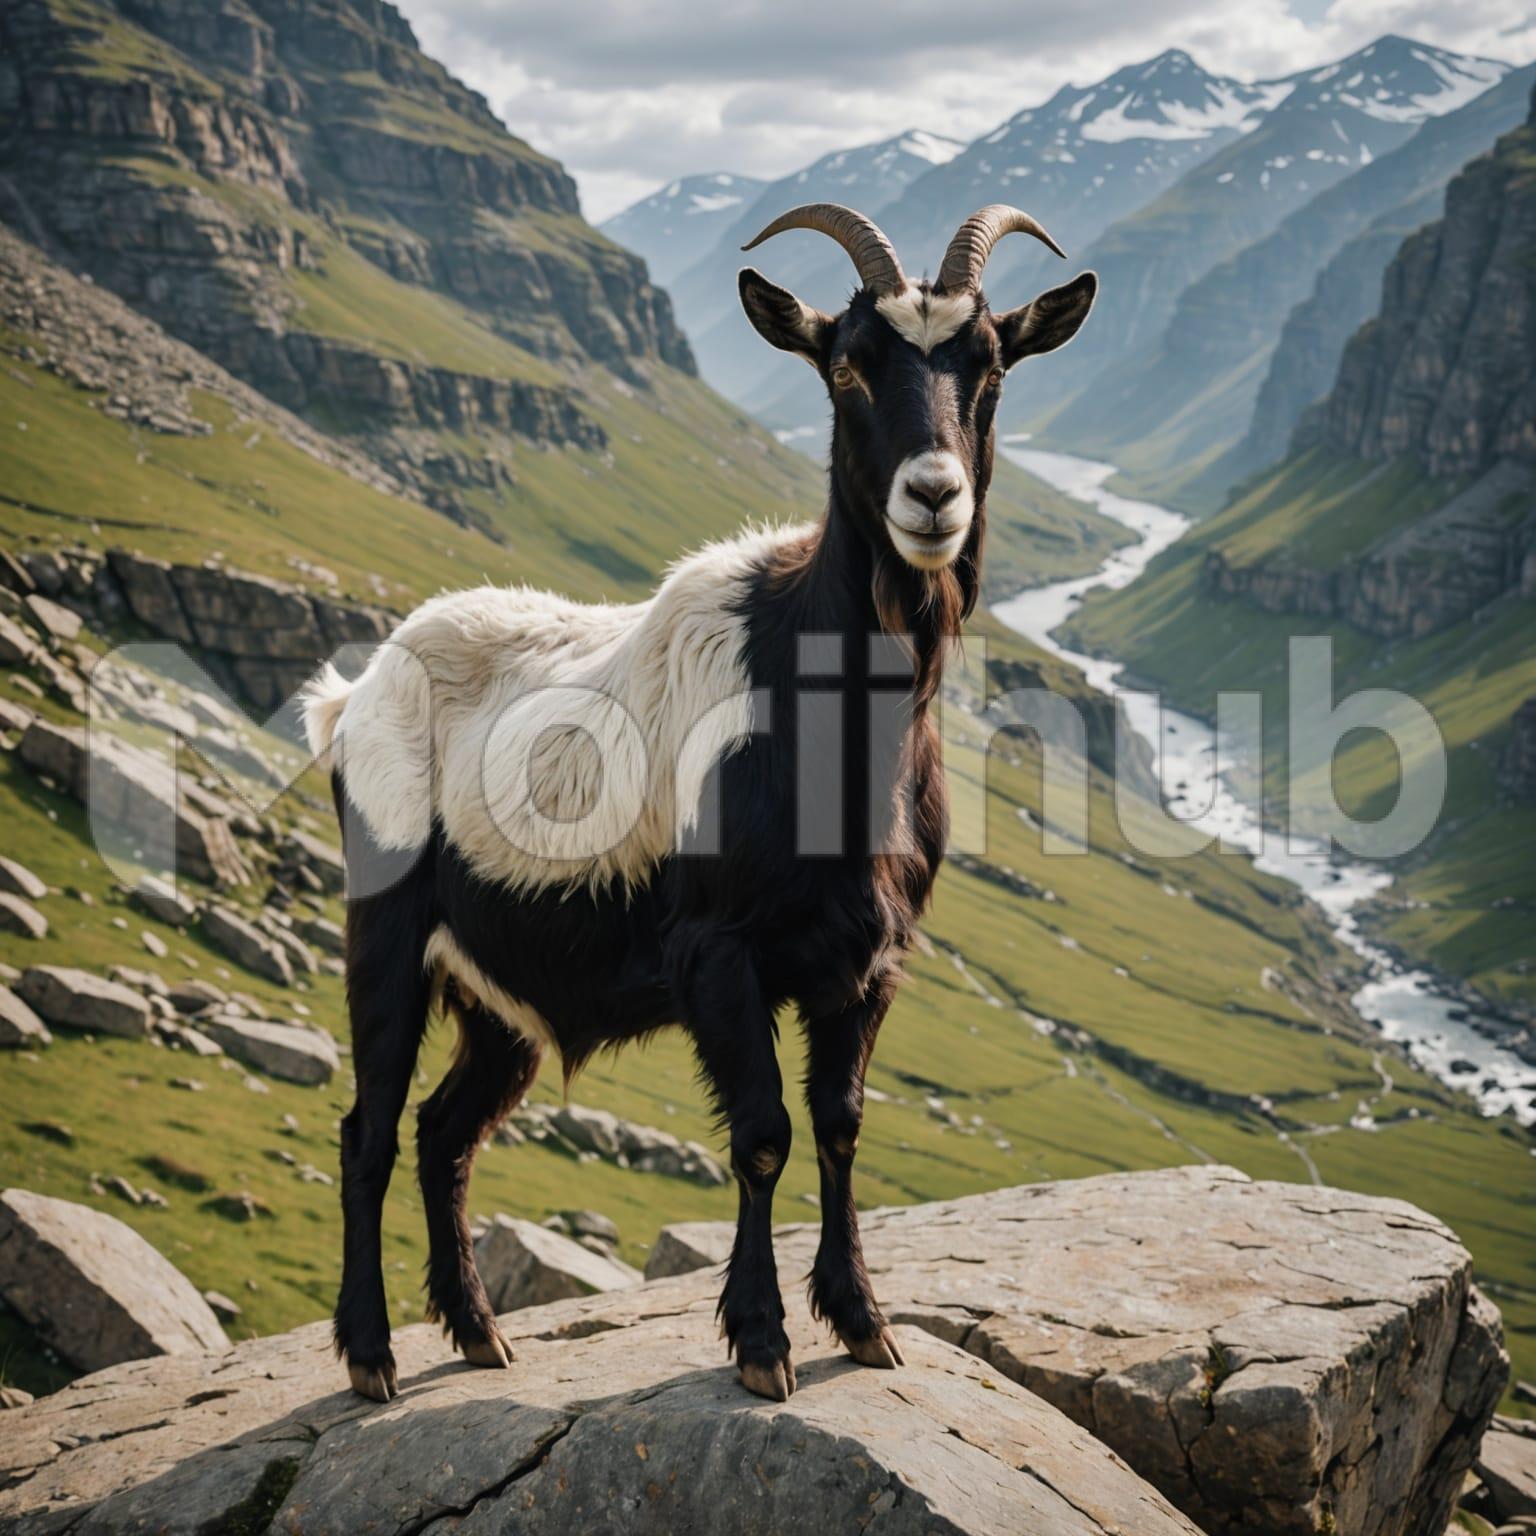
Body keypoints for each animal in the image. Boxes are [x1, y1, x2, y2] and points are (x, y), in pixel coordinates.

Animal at [303, 203, 1096, 1403]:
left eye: (993, 366)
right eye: (847, 366)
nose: (933, 497)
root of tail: (354, 695)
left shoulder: (868, 964)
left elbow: (840, 1126)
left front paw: (864, 1323)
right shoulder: (721, 953)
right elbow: (765, 1135)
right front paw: (763, 1344)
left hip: (500, 993)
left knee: (447, 1131)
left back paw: (481, 1333)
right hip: (387, 930)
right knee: (371, 1128)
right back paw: (371, 1356)